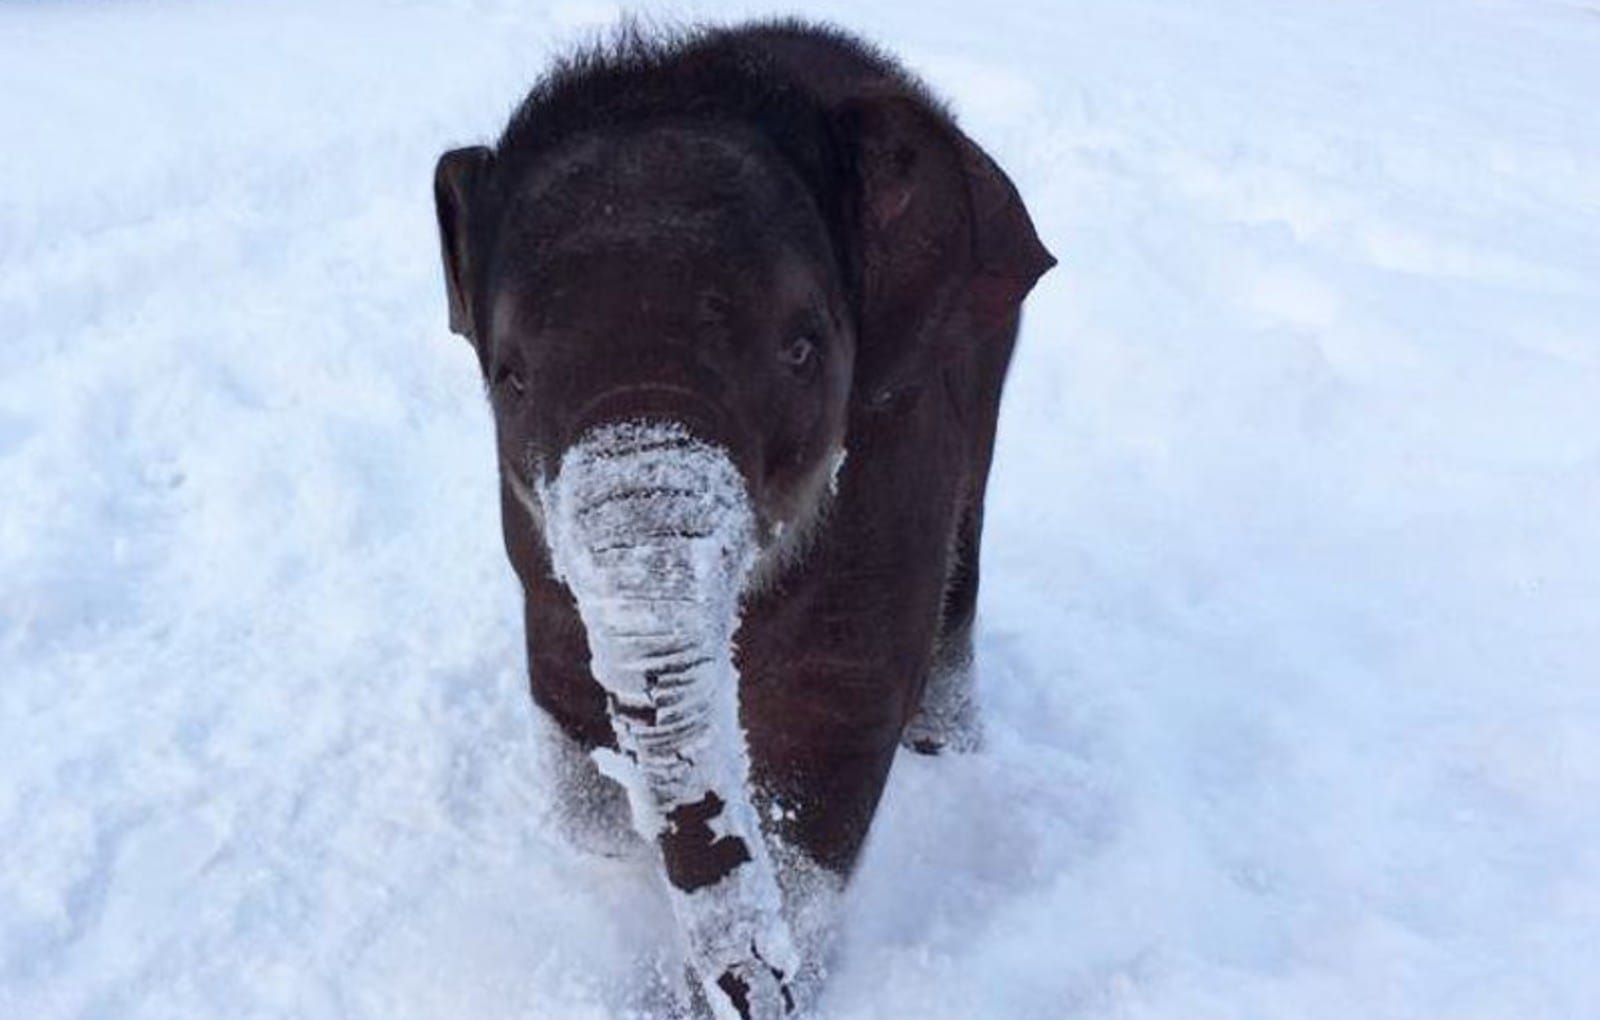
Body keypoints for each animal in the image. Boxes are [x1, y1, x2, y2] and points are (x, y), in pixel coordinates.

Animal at [432, 19, 1053, 1019]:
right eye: (511, 377)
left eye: (801, 350)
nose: (751, 986)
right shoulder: (527, 524)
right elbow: (568, 700)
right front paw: (618, 847)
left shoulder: (896, 453)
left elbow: (830, 736)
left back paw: (943, 748)